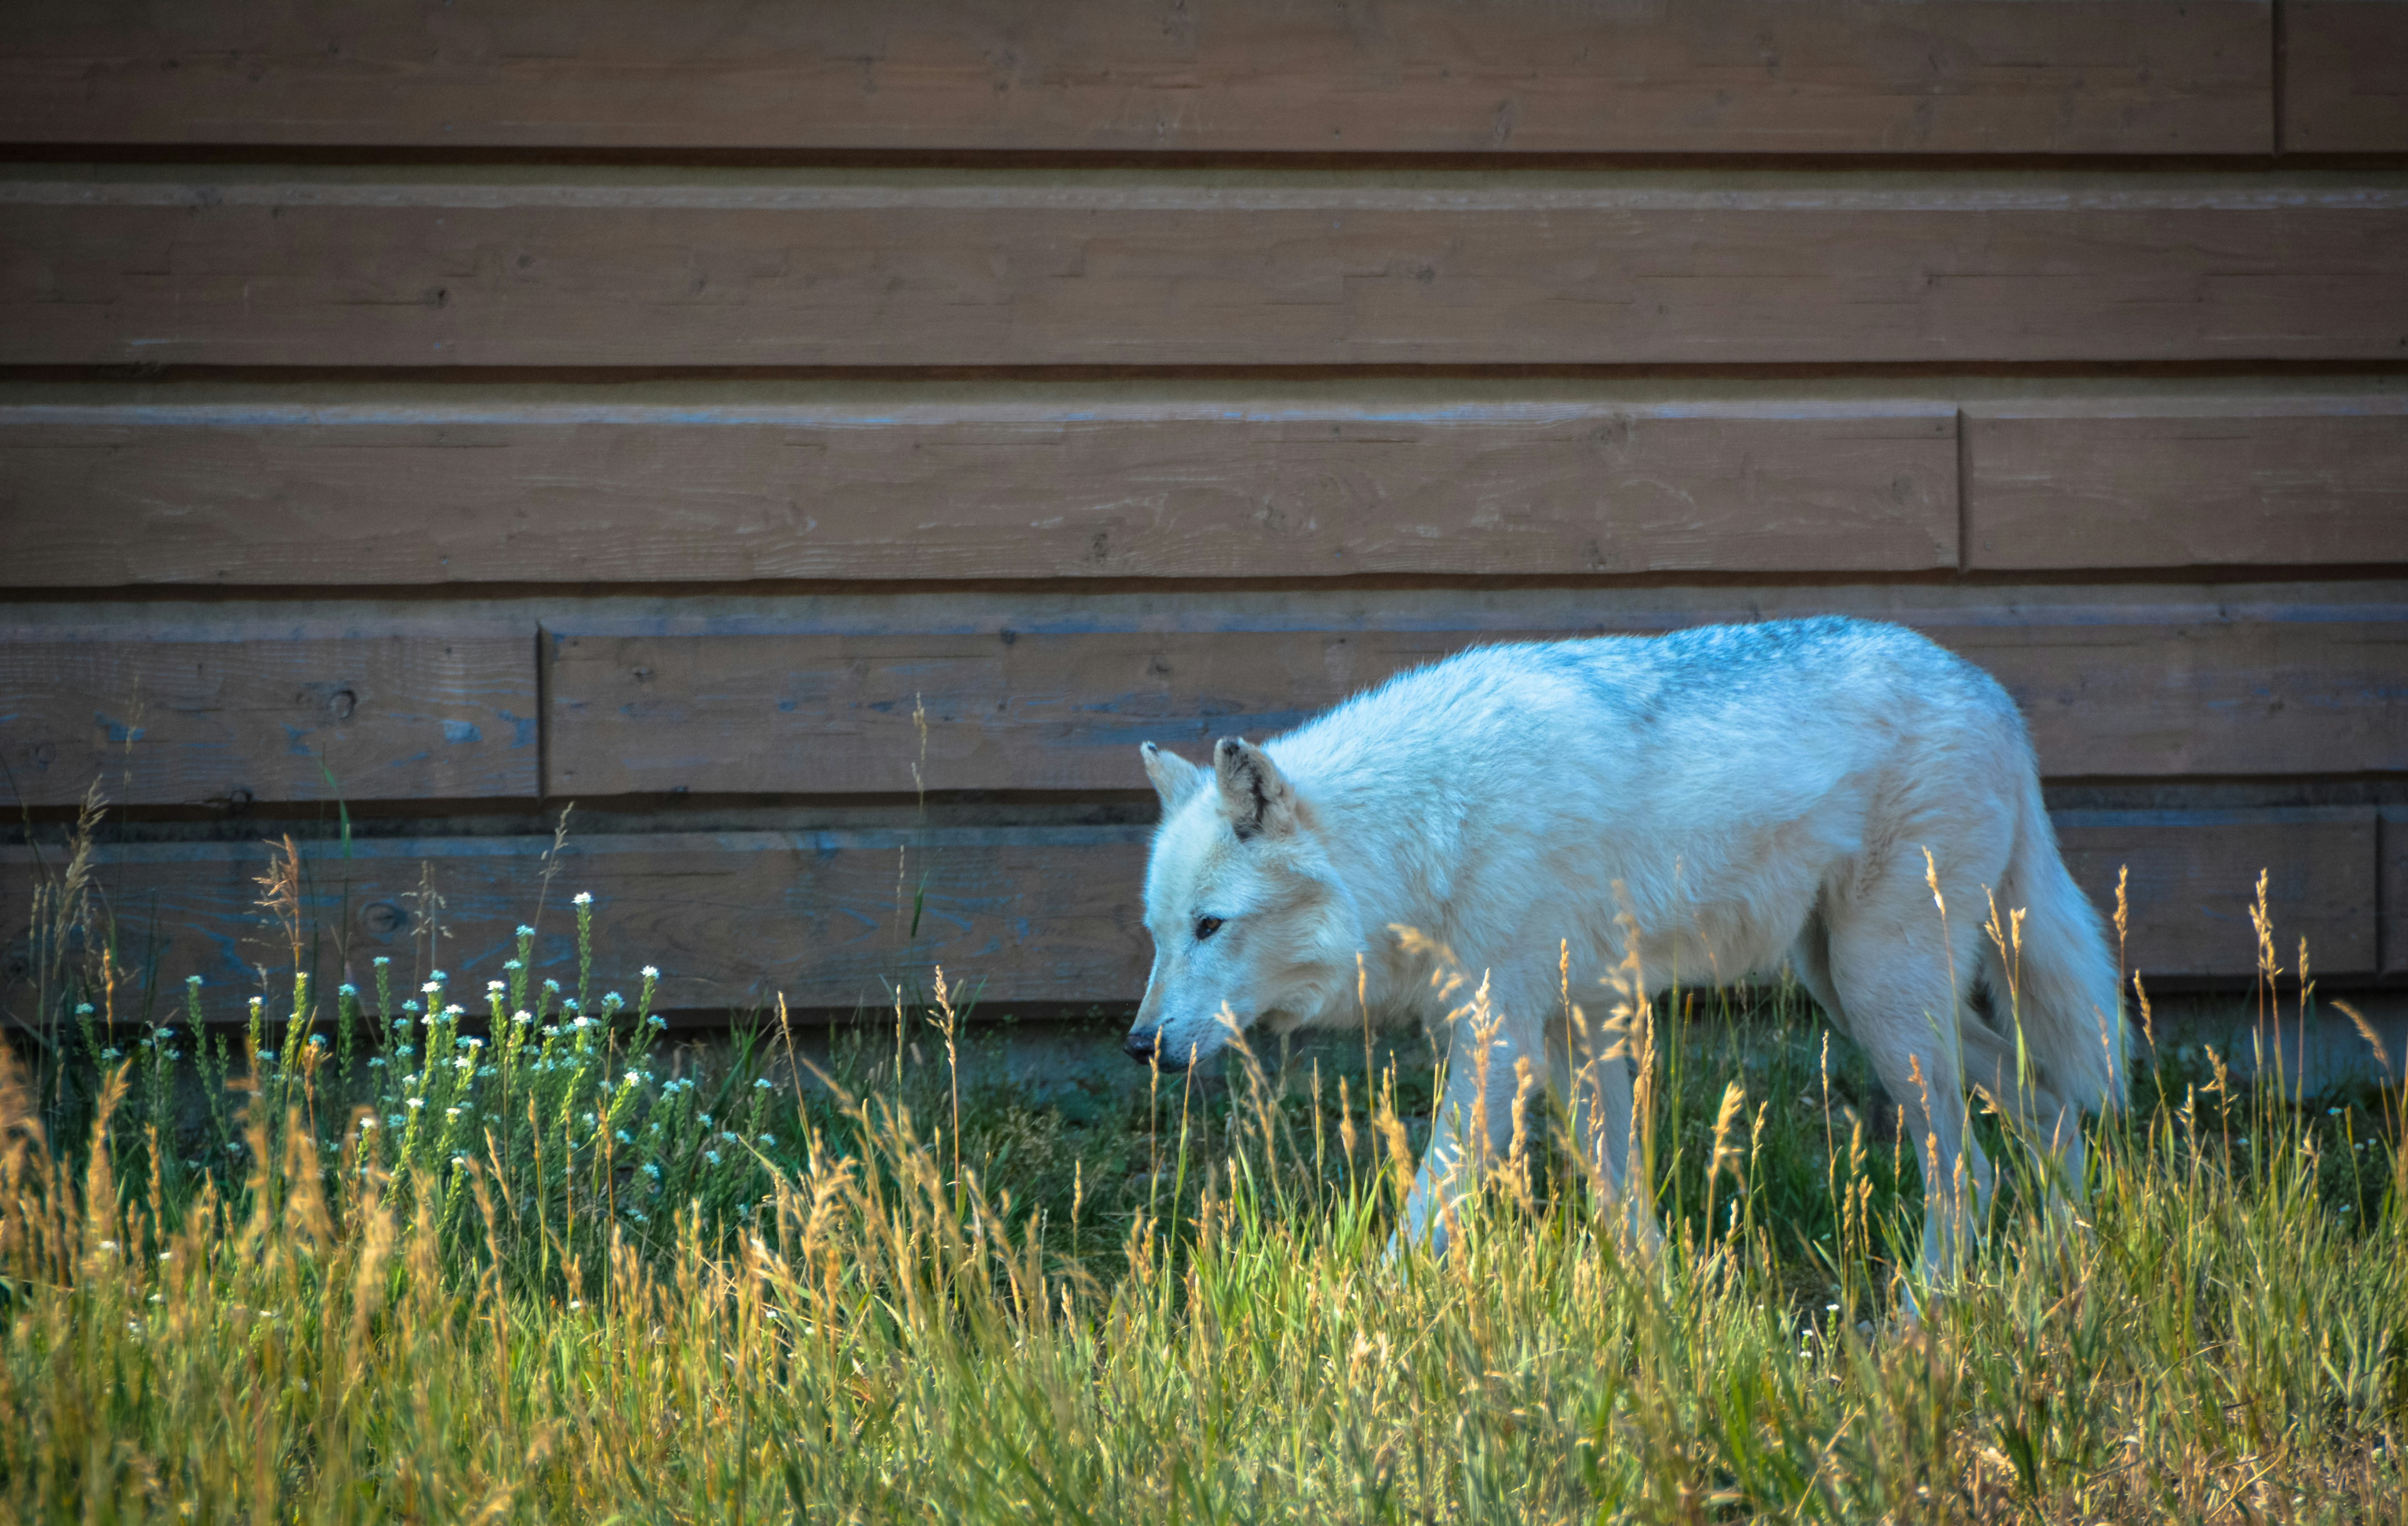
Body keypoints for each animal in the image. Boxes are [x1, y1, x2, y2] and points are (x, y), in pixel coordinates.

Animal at [1123, 616, 2124, 1280]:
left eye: (1211, 925)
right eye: (1162, 934)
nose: (1139, 1046)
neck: (1429, 825)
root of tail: (1995, 697)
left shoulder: (1498, 1040)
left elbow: (1428, 1208)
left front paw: (1363, 1336)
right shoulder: (1574, 1031)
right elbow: (1619, 1197)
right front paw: (1668, 1309)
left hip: (1883, 1002)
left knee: (1970, 1175)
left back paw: (1920, 1327)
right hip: (1856, 992)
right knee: (2051, 1113)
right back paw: (2060, 1277)